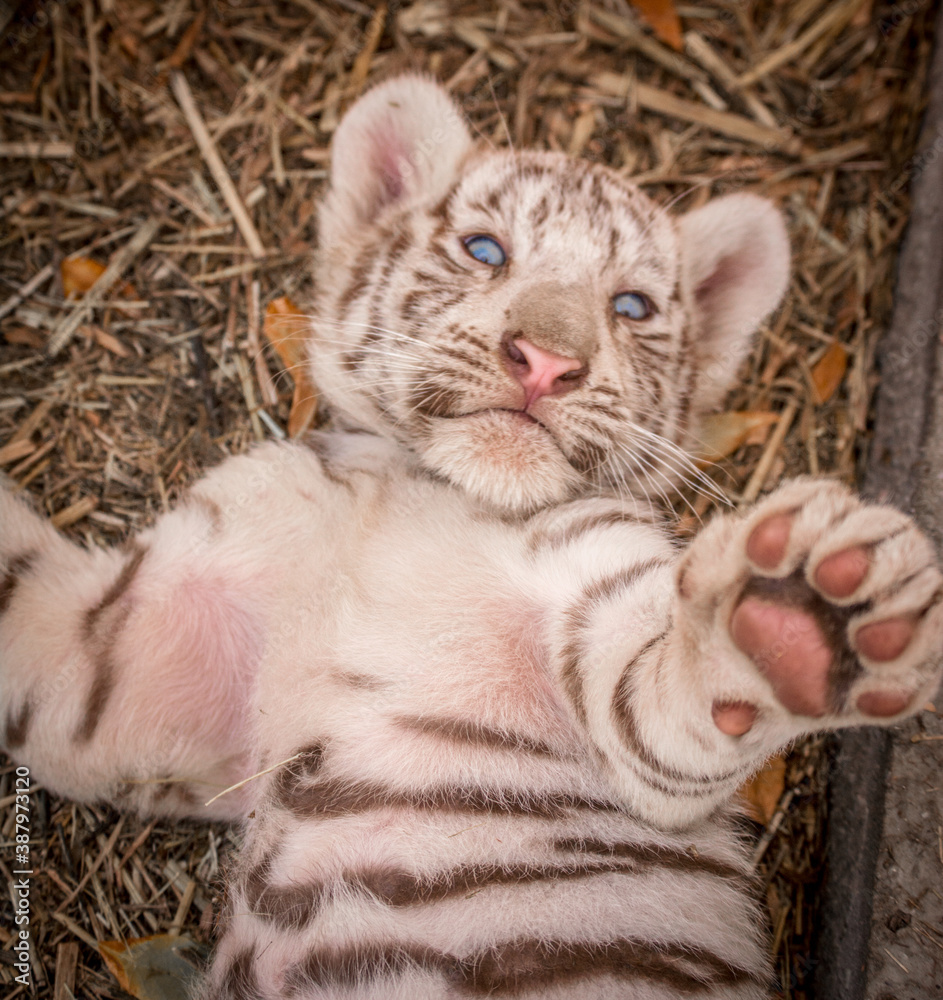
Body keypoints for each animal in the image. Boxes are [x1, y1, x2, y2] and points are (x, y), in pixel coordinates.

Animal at [1, 75, 940, 1000]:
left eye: (630, 305)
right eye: (486, 250)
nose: (547, 362)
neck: (437, 491)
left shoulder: (610, 616)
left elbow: (666, 691)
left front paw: (806, 614)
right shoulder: (144, 660)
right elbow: (29, 609)